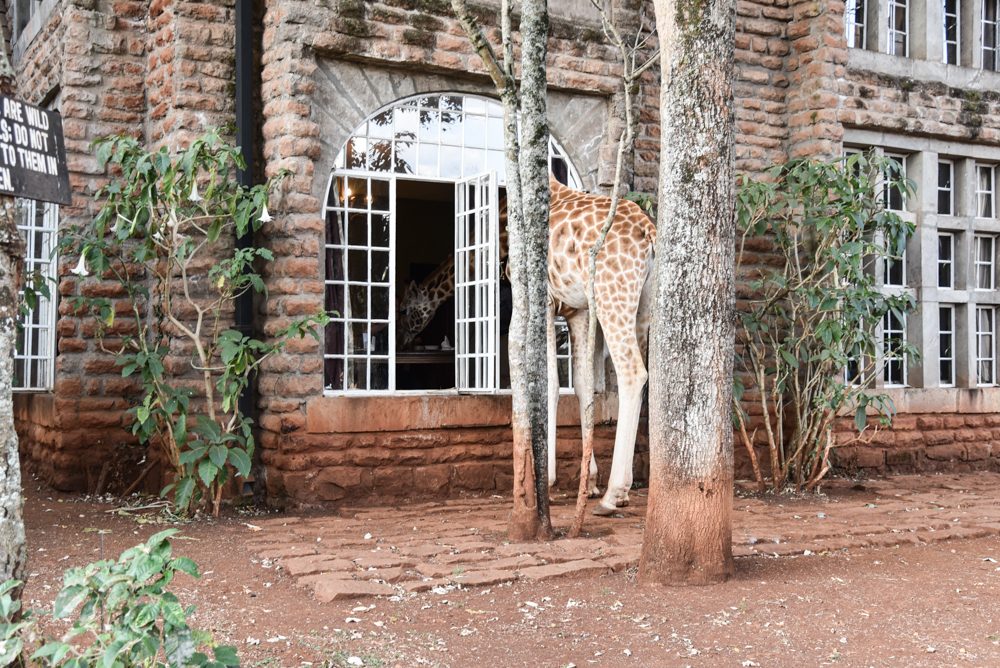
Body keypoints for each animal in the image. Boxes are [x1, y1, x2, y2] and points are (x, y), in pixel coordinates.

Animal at [397, 177, 655, 515]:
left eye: (403, 310)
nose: (401, 342)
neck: (503, 227)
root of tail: (649, 233)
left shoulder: (543, 299)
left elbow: (550, 383)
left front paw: (547, 478)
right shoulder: (578, 310)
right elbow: (582, 385)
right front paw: (588, 481)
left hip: (613, 294)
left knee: (632, 373)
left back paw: (614, 495)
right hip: (643, 306)